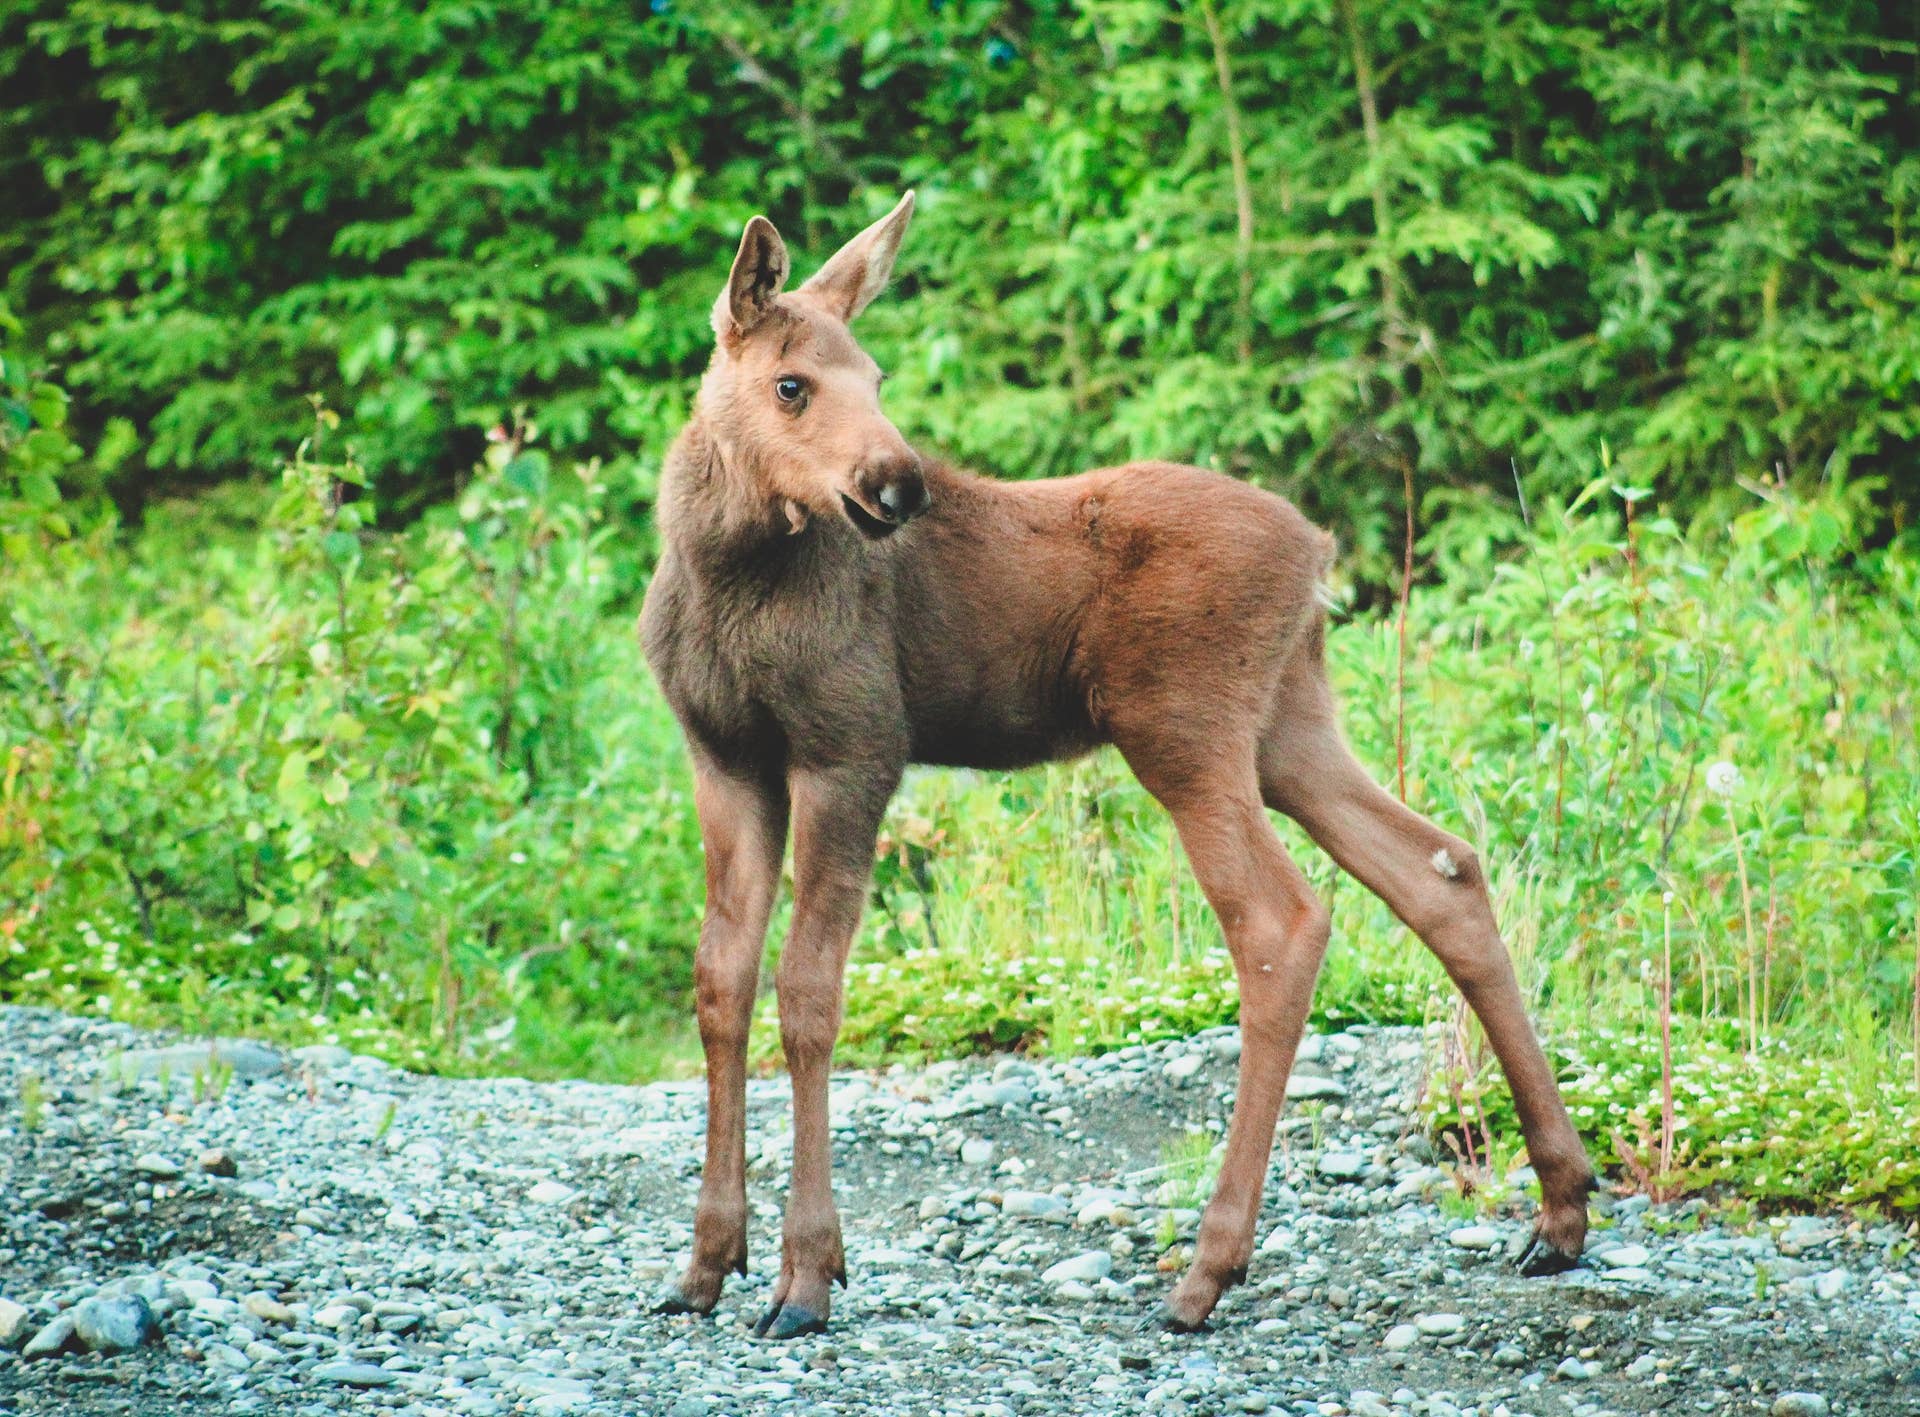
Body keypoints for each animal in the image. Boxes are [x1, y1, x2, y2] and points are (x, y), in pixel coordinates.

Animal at [640, 192, 1594, 1340]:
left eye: (875, 376)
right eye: (792, 384)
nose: (898, 484)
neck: (726, 567)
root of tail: (1319, 551)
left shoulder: (853, 747)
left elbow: (810, 990)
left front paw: (806, 1276)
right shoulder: (725, 757)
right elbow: (721, 982)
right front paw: (704, 1262)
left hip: (1181, 723)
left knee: (1282, 919)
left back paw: (1207, 1269)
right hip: (1288, 724)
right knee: (1441, 867)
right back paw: (1561, 1209)